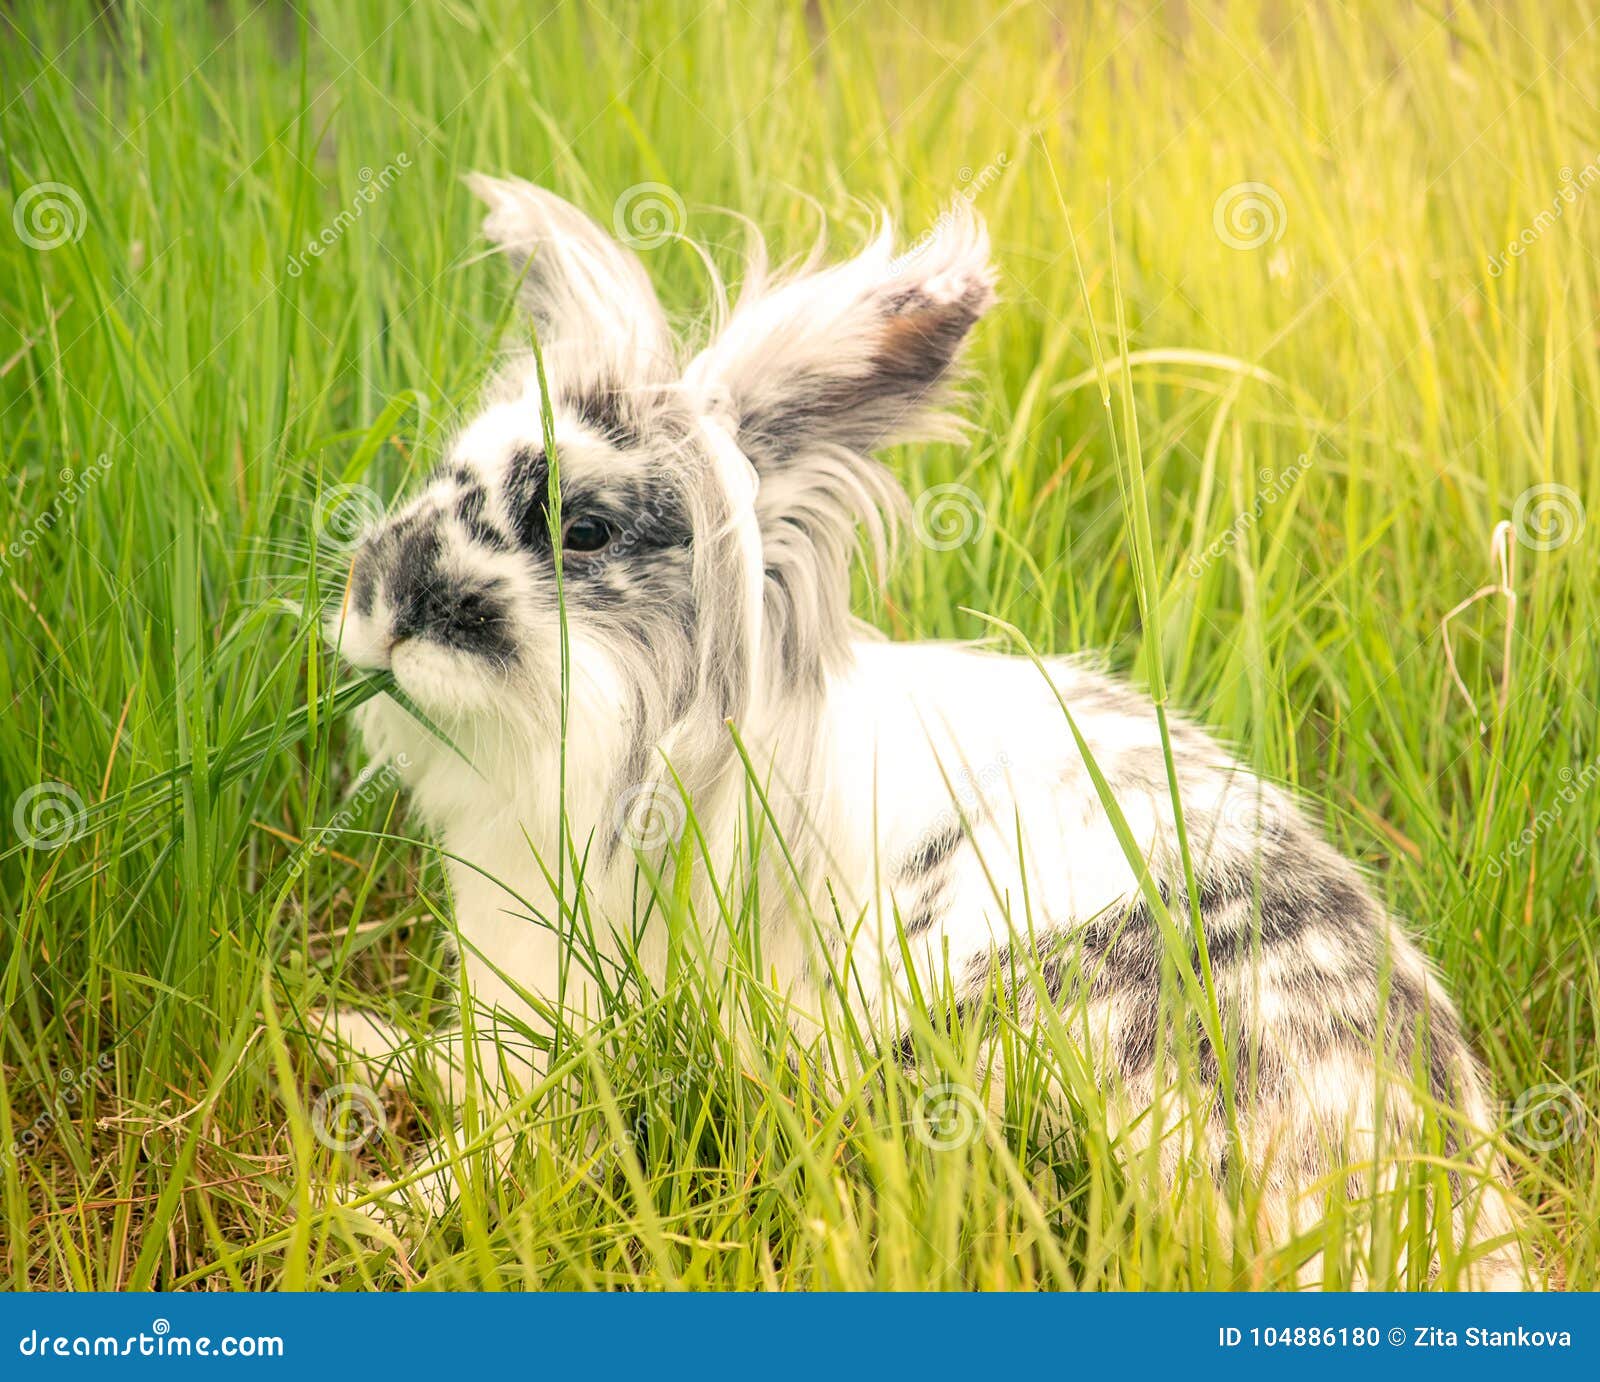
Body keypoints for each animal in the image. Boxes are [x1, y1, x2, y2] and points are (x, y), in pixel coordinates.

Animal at [316, 176, 1533, 1288]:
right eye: (444, 476)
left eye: (582, 530)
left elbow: (516, 1139)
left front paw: (377, 1209)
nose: (382, 598)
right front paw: (348, 1035)